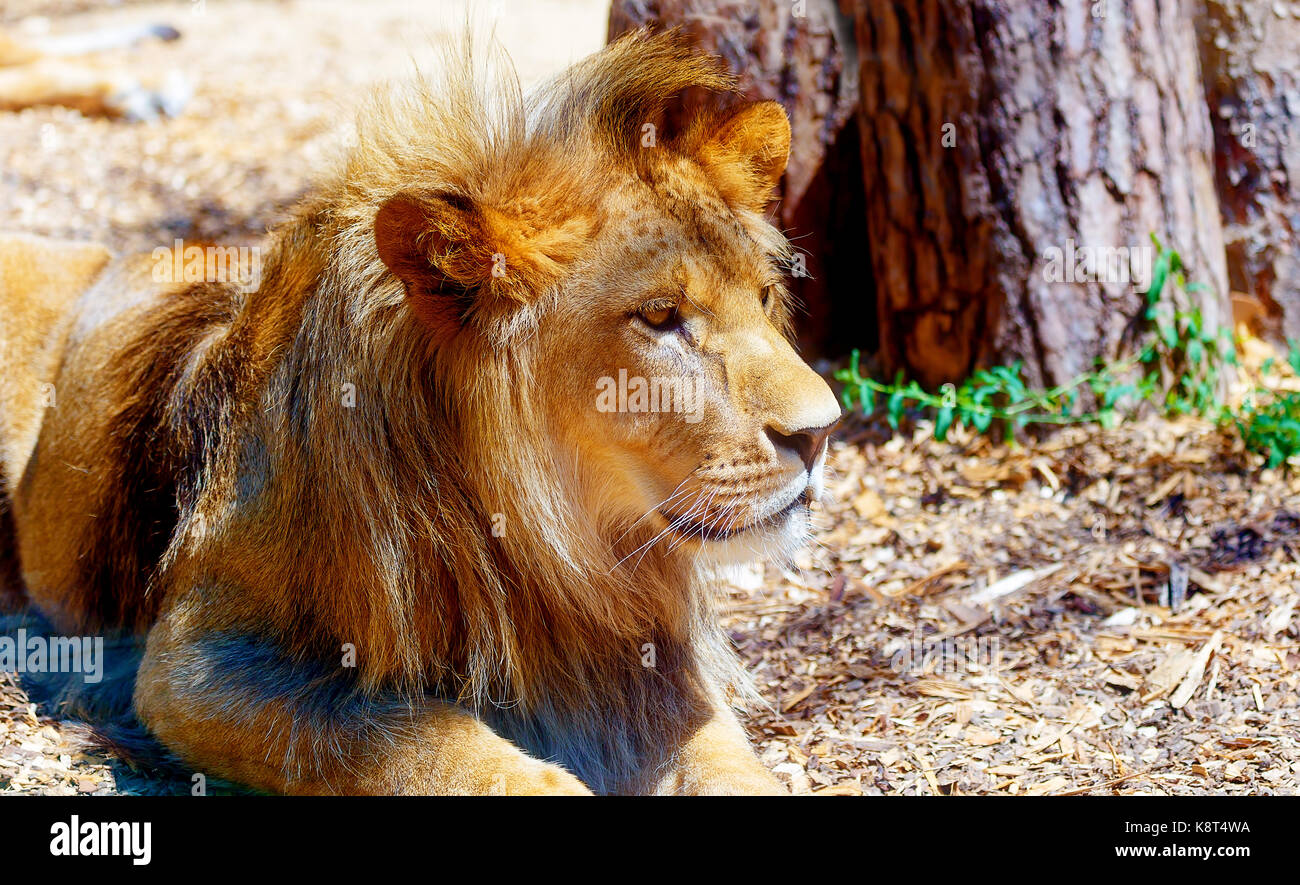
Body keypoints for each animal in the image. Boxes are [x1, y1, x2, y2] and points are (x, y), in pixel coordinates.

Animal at [0, 30, 840, 795]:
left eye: (764, 295)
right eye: (660, 316)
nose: (822, 432)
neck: (551, 548)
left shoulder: (643, 666)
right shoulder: (198, 661)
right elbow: (439, 746)